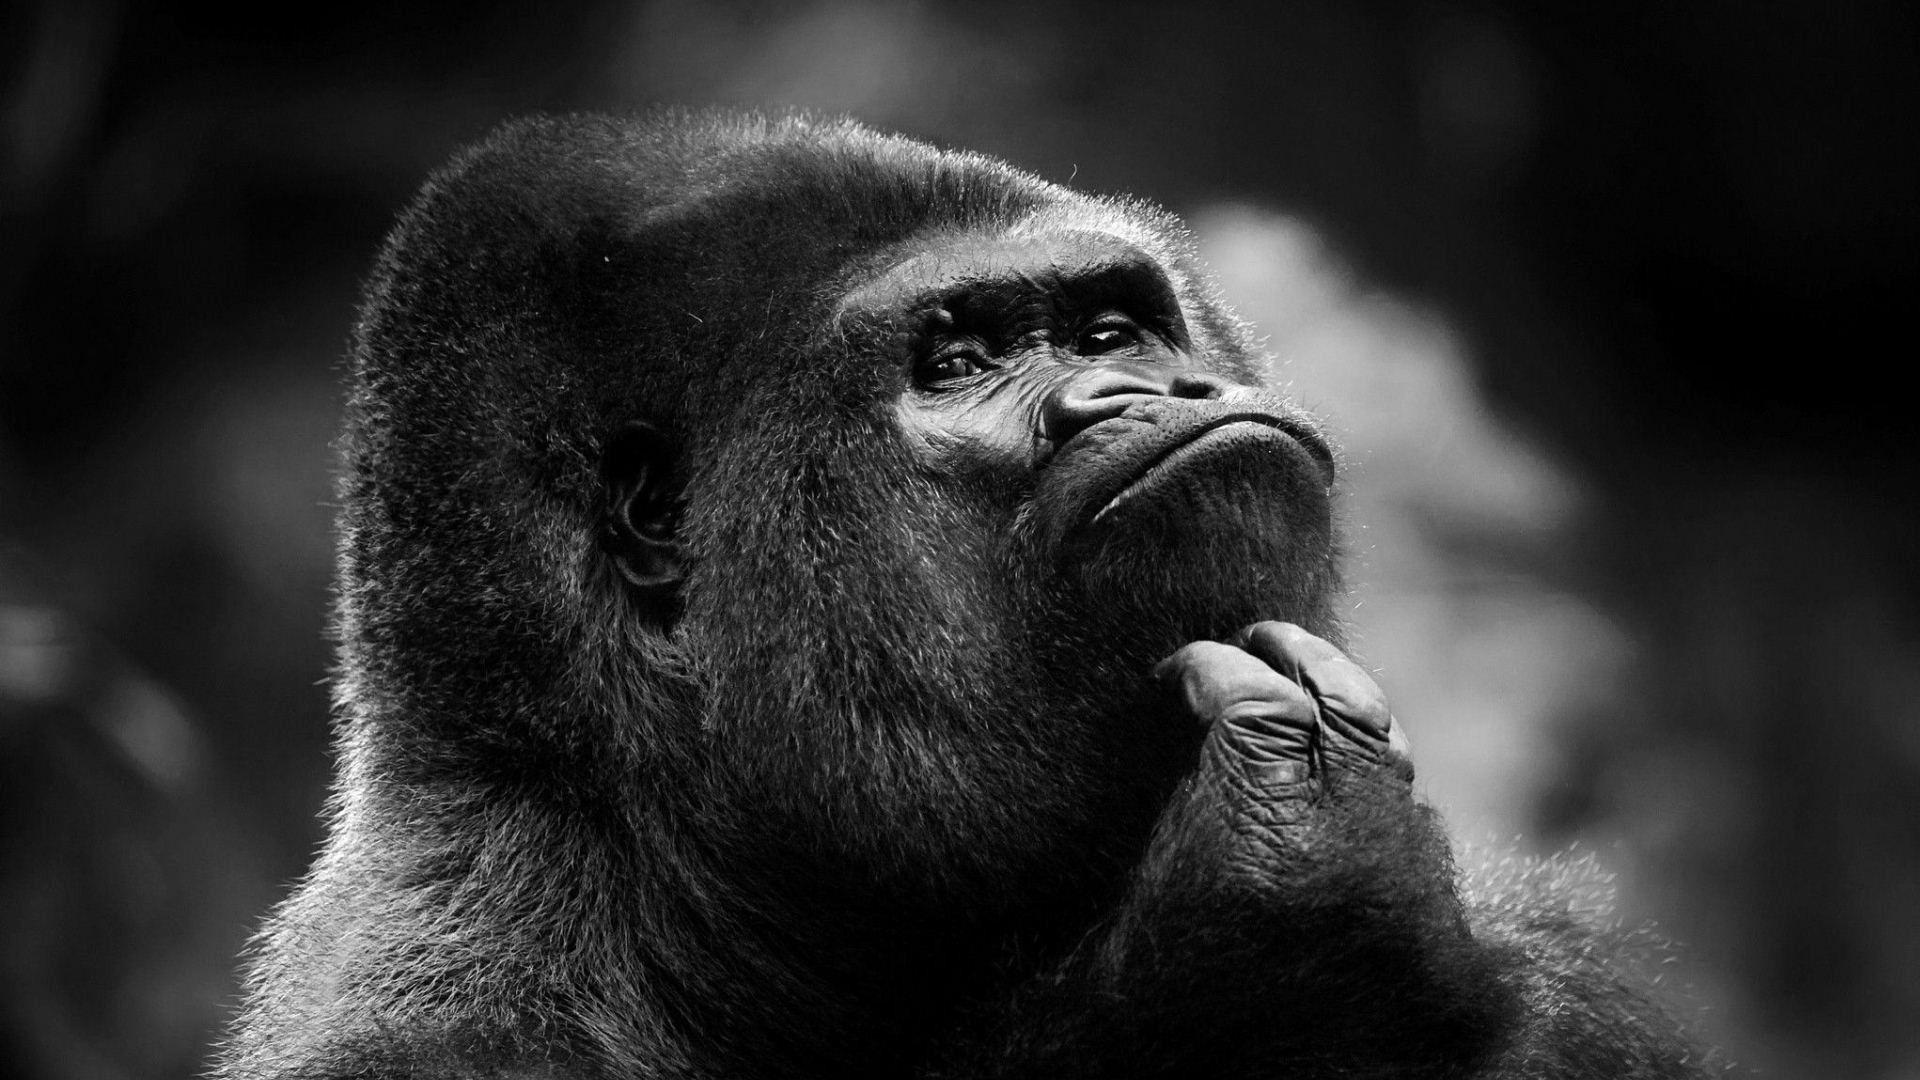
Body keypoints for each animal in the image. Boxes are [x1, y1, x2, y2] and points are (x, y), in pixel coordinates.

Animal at [213, 111, 1717, 1079]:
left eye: (1111, 326)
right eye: (957, 363)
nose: (1145, 387)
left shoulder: (1563, 968)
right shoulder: (448, 1016)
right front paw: (1283, 943)